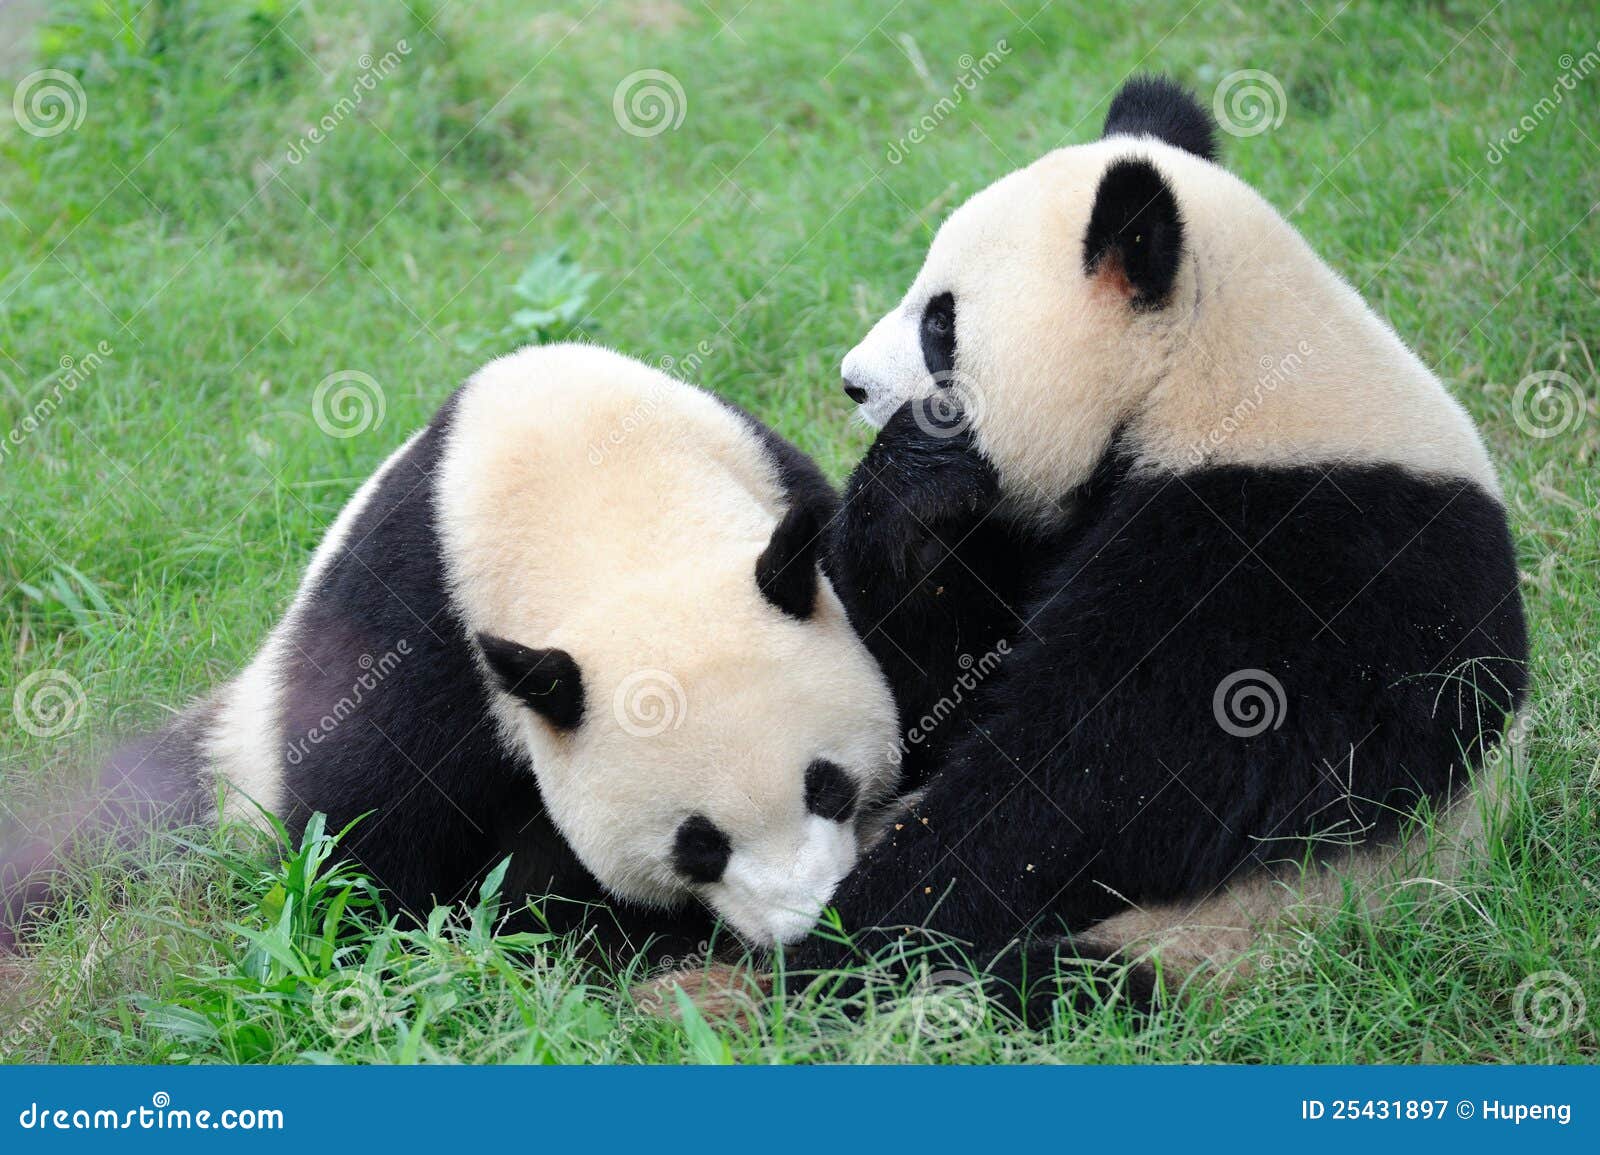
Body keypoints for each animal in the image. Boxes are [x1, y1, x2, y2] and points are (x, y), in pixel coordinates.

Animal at [3, 344, 901, 959]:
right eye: (699, 843)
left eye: (828, 785)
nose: (808, 920)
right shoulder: (419, 632)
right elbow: (361, 833)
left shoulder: (780, 483)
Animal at [791, 76, 1530, 1019]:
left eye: (941, 325)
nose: (853, 382)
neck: (1210, 380)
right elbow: (920, 697)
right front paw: (919, 481)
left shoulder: (1299, 559)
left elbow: (1111, 775)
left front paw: (853, 931)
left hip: (1260, 927)